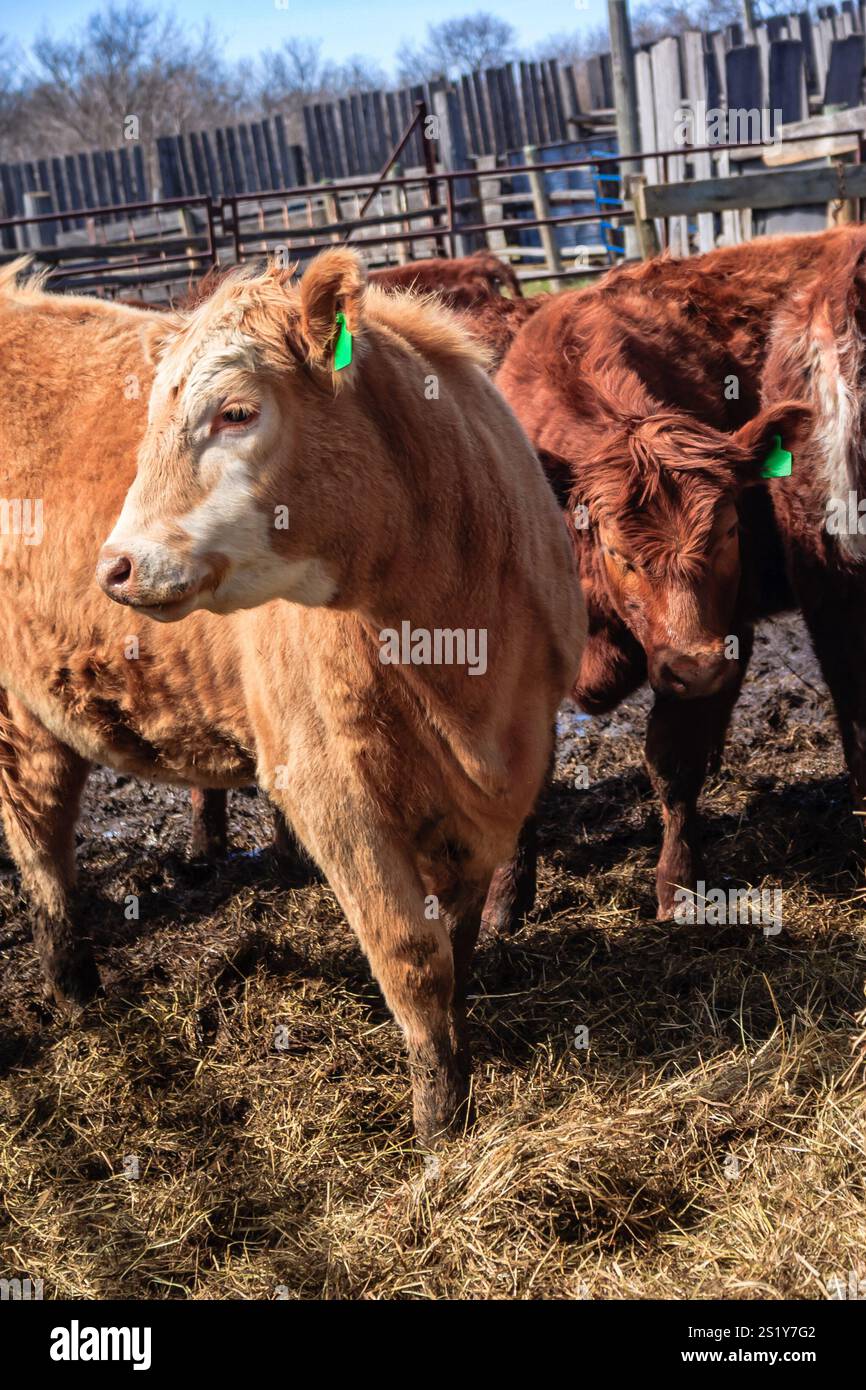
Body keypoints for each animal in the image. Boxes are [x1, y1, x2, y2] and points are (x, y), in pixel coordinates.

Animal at [0, 249, 583, 1144]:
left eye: (237, 411)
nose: (115, 567)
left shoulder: (503, 776)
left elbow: (456, 941)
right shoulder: (329, 787)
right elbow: (412, 956)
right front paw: (439, 1126)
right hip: (19, 720)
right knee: (42, 845)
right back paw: (76, 995)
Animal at [493, 228, 866, 924]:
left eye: (729, 532)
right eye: (618, 552)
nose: (696, 666)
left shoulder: (730, 633)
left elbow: (674, 762)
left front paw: (679, 889)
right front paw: (504, 899)